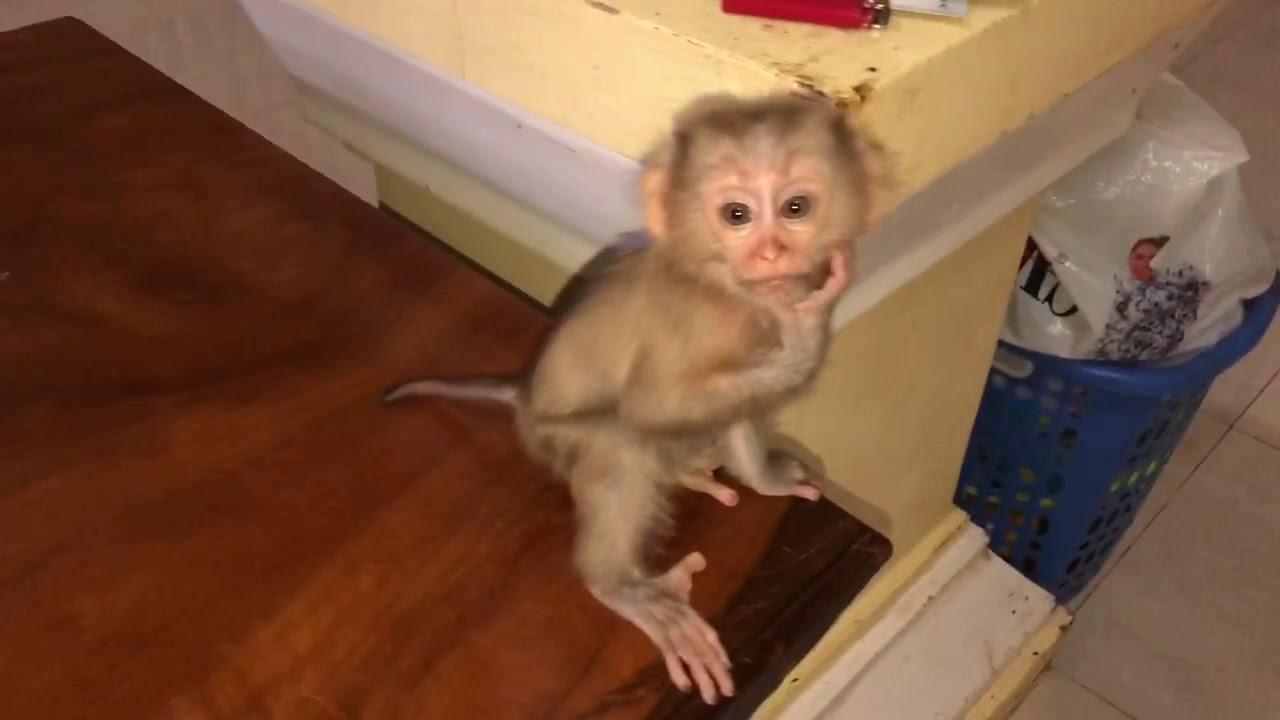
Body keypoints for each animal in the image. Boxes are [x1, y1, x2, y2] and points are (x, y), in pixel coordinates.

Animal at [381, 92, 883, 705]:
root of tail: (524, 392)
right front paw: (801, 336)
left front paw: (764, 477)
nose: (771, 253)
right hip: (555, 438)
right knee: (622, 441)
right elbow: (653, 405)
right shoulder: (704, 323)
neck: (726, 283)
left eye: (795, 207)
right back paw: (620, 586)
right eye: (736, 215)